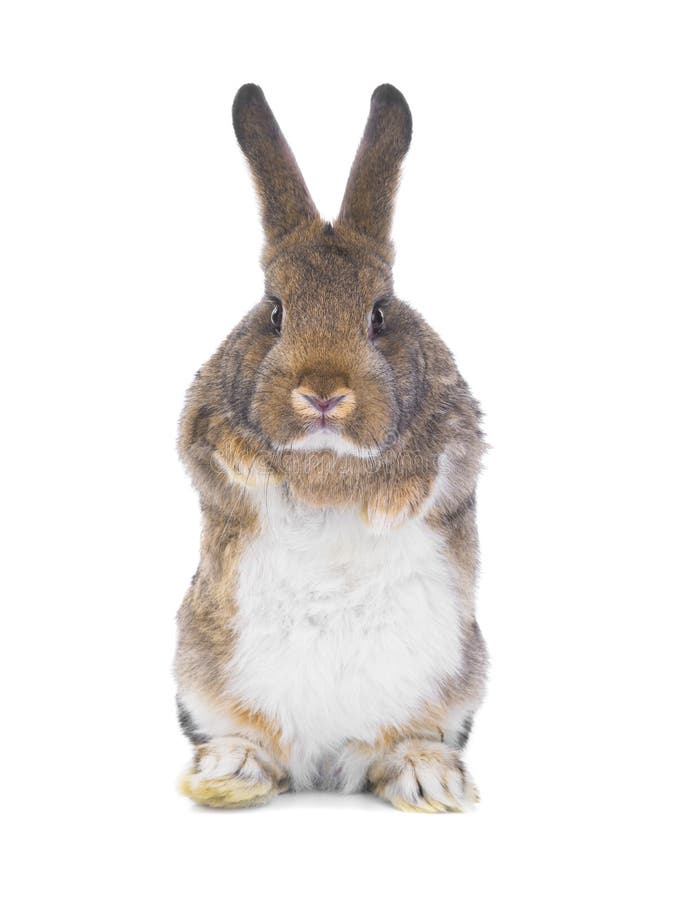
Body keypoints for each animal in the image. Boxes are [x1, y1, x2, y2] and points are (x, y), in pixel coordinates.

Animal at [175, 83, 488, 812]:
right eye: (274, 312)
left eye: (378, 314)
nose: (322, 393)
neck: (326, 462)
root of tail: (323, 758)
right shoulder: (196, 428)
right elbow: (220, 450)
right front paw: (258, 469)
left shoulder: (459, 439)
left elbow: (430, 468)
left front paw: (386, 506)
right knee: (256, 743)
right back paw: (230, 773)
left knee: (398, 745)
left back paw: (427, 778)